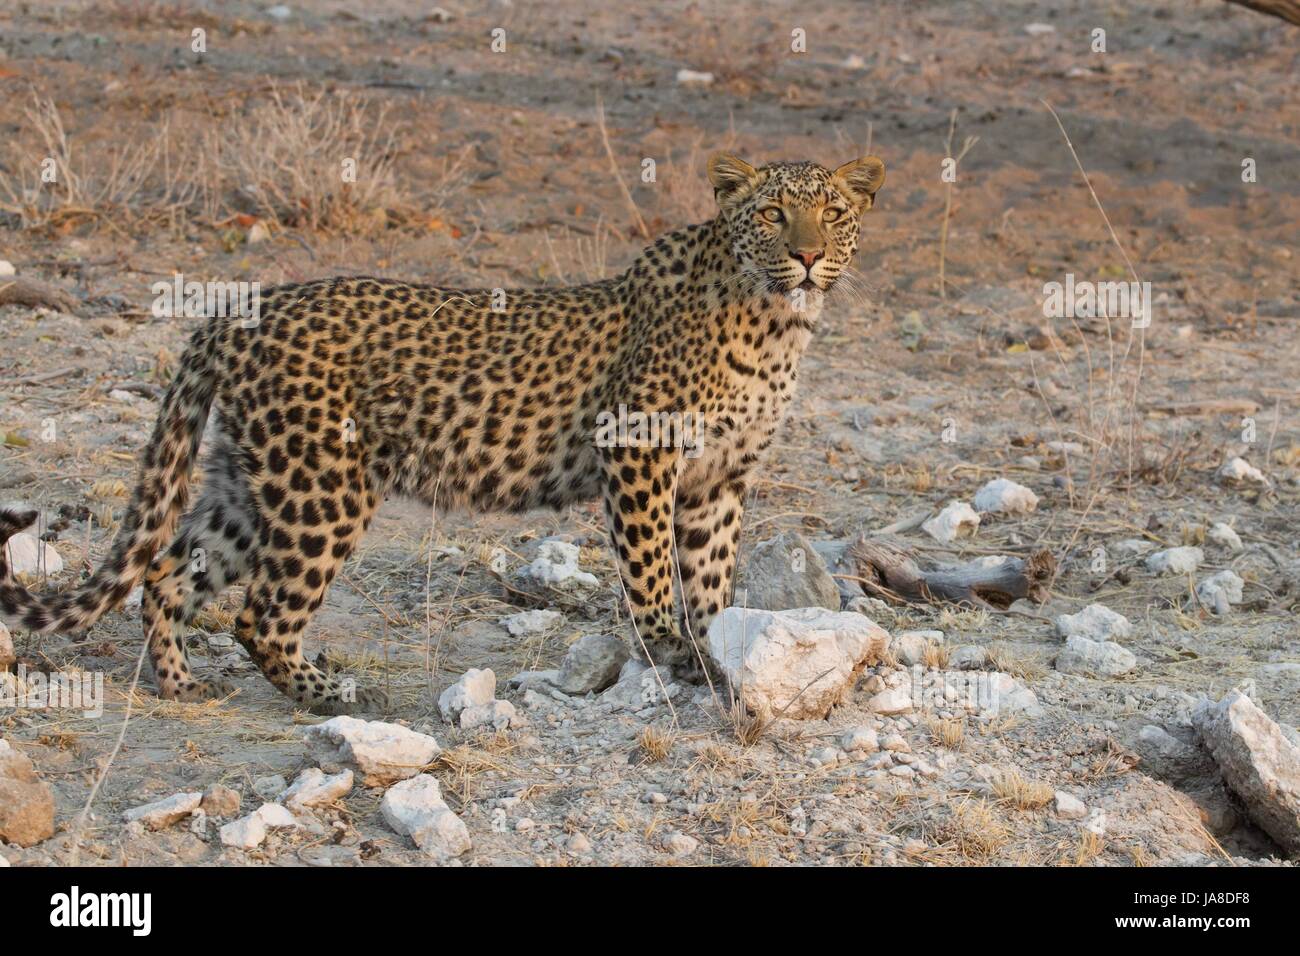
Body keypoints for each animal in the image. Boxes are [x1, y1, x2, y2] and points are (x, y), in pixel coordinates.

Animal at [0, 152, 885, 714]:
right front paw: (669, 648)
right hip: (324, 487)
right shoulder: (639, 451)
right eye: (772, 214)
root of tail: (241, 309)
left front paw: (713, 649)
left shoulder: (719, 480)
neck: (778, 325)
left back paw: (181, 685)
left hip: (250, 484)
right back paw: (339, 696)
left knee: (168, 573)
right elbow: (647, 572)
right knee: (261, 615)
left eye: (833, 213)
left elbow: (710, 576)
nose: (808, 256)